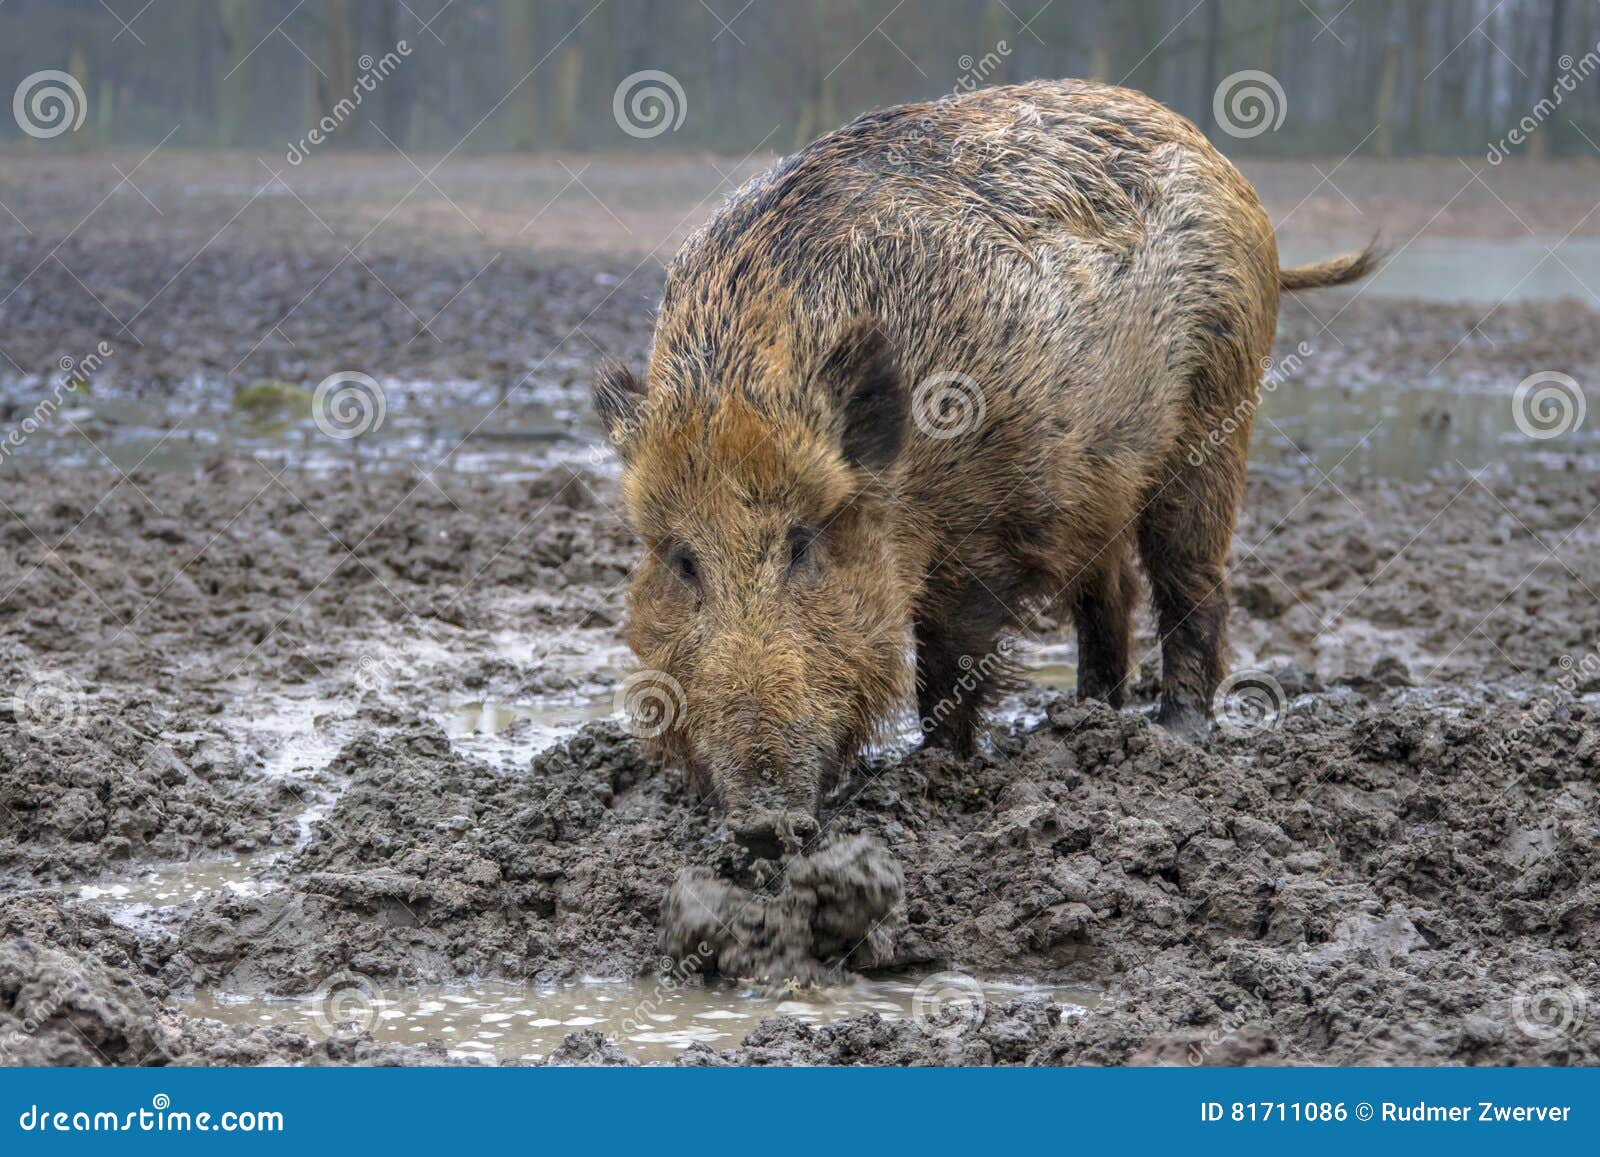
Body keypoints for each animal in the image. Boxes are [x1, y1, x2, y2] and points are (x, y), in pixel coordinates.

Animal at [594, 79, 1376, 851]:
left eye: (803, 543)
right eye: (683, 560)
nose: (764, 824)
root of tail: (1222, 165)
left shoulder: (990, 528)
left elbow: (951, 659)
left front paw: (942, 767)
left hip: (1217, 411)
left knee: (1191, 577)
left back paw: (1176, 733)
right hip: (1102, 481)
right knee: (1113, 591)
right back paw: (1090, 716)